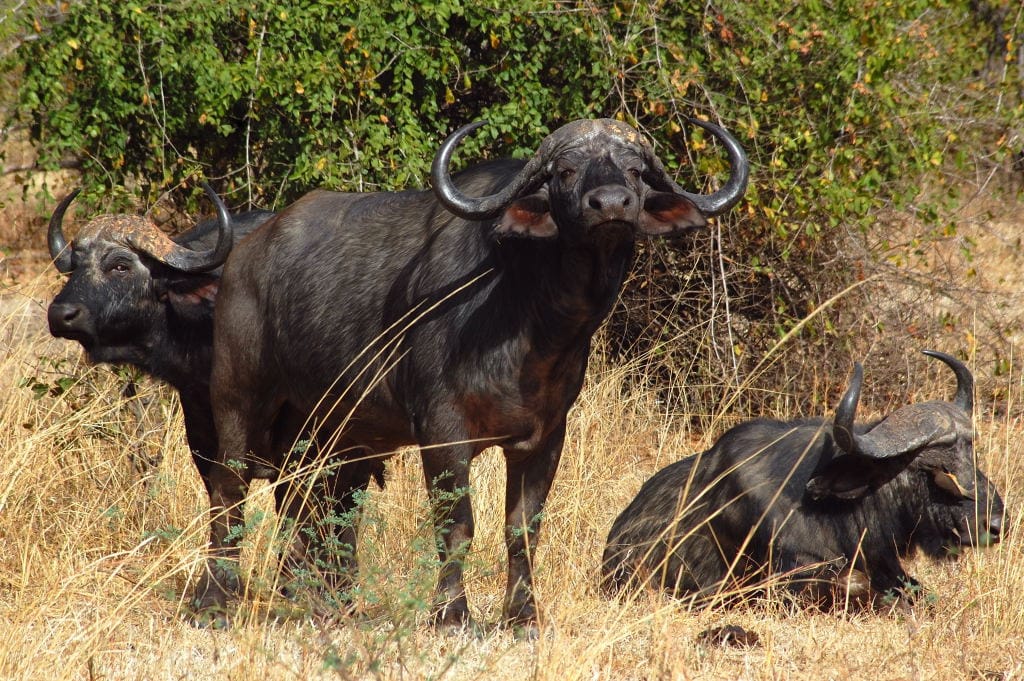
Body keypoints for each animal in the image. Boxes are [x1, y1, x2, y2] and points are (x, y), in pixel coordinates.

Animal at [195, 117, 749, 634]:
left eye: (634, 171)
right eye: (565, 171)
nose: (611, 204)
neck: (529, 323)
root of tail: (243, 257)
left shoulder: (546, 437)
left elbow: (523, 530)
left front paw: (523, 615)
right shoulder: (442, 432)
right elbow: (456, 525)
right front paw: (451, 613)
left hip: (327, 433)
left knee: (315, 506)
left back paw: (321, 603)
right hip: (237, 399)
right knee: (229, 490)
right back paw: (215, 599)